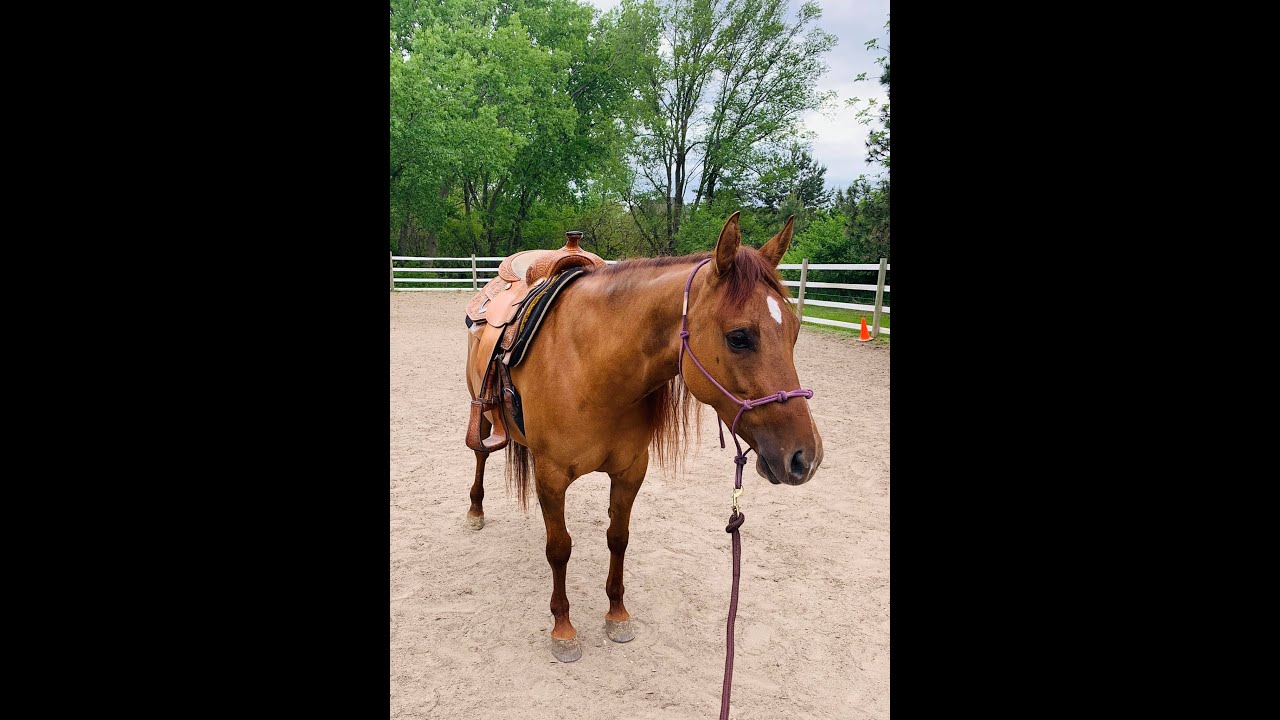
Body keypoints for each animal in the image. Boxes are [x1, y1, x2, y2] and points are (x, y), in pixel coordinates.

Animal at [463, 211, 823, 662]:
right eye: (739, 337)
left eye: (794, 331)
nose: (804, 457)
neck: (591, 365)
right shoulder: (551, 477)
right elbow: (559, 548)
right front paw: (563, 629)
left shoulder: (631, 471)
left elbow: (618, 538)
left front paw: (617, 615)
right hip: (482, 414)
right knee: (479, 454)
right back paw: (475, 510)